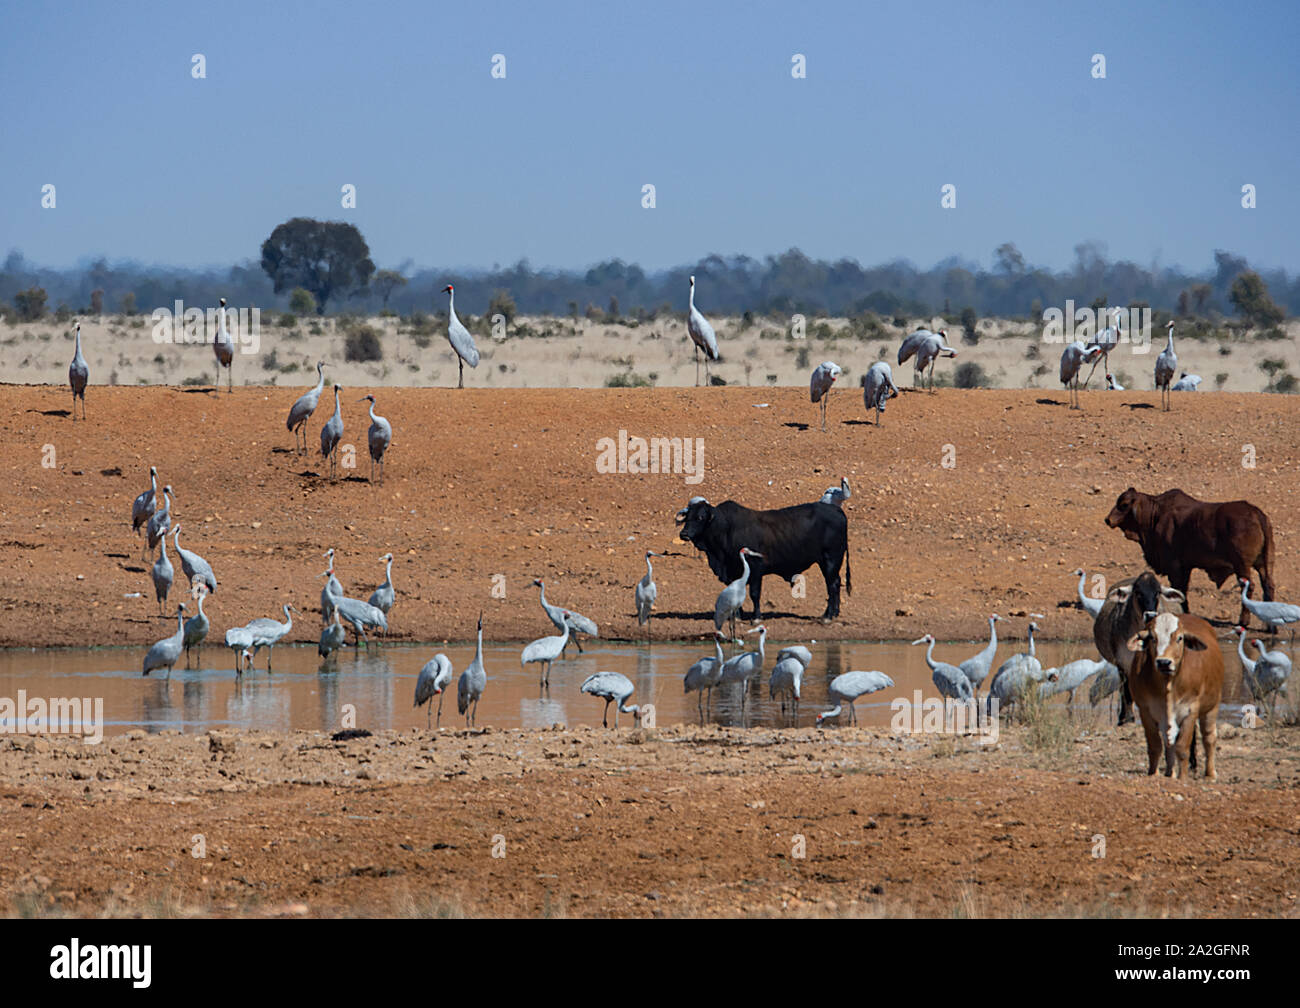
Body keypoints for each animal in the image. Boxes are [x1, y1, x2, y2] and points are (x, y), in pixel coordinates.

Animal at [675, 498, 850, 623]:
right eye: (687, 517)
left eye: (700, 517)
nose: (684, 534)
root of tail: (836, 510)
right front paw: (737, 615)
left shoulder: (756, 568)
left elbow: (754, 593)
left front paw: (756, 617)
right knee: (836, 583)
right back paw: (834, 613)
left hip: (831, 559)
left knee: (832, 585)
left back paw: (827, 616)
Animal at [1093, 571, 1186, 725]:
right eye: (1138, 592)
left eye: (1157, 592)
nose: (1150, 615)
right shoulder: (1122, 663)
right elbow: (1126, 692)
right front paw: (1127, 718)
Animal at [1104, 487, 1276, 626]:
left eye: (1124, 504)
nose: (1108, 520)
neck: (1156, 515)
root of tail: (1256, 514)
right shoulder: (1185, 567)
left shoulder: (1175, 567)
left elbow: (1179, 589)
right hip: (1264, 564)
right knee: (1268, 585)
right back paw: (1269, 626)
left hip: (1242, 565)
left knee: (1250, 587)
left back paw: (1244, 621)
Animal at [1125, 611, 1223, 779]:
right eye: (1152, 638)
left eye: (1180, 638)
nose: (1164, 662)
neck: (1168, 684)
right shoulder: (1145, 710)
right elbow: (1155, 746)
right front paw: (1154, 773)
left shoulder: (1190, 711)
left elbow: (1182, 748)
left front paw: (1182, 777)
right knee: (1168, 744)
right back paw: (1169, 773)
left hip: (1212, 706)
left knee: (1209, 737)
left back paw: (1210, 774)